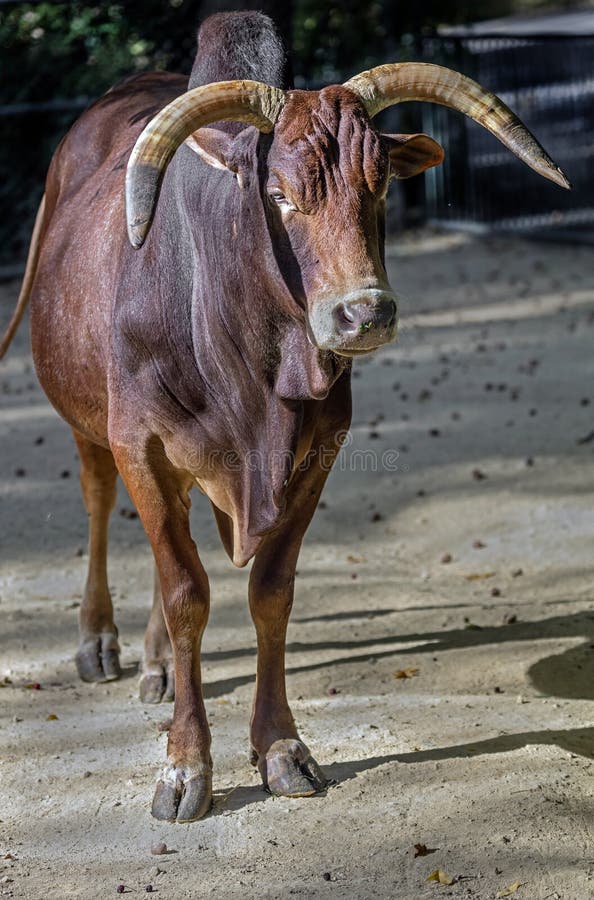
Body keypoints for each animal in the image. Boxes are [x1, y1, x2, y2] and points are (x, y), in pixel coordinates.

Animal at [0, 11, 569, 823]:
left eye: (380, 187)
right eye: (278, 194)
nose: (363, 313)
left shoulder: (314, 456)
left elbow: (269, 592)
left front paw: (279, 747)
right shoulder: (139, 444)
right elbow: (187, 594)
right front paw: (184, 766)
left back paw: (154, 661)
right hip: (88, 425)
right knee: (102, 505)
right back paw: (100, 642)